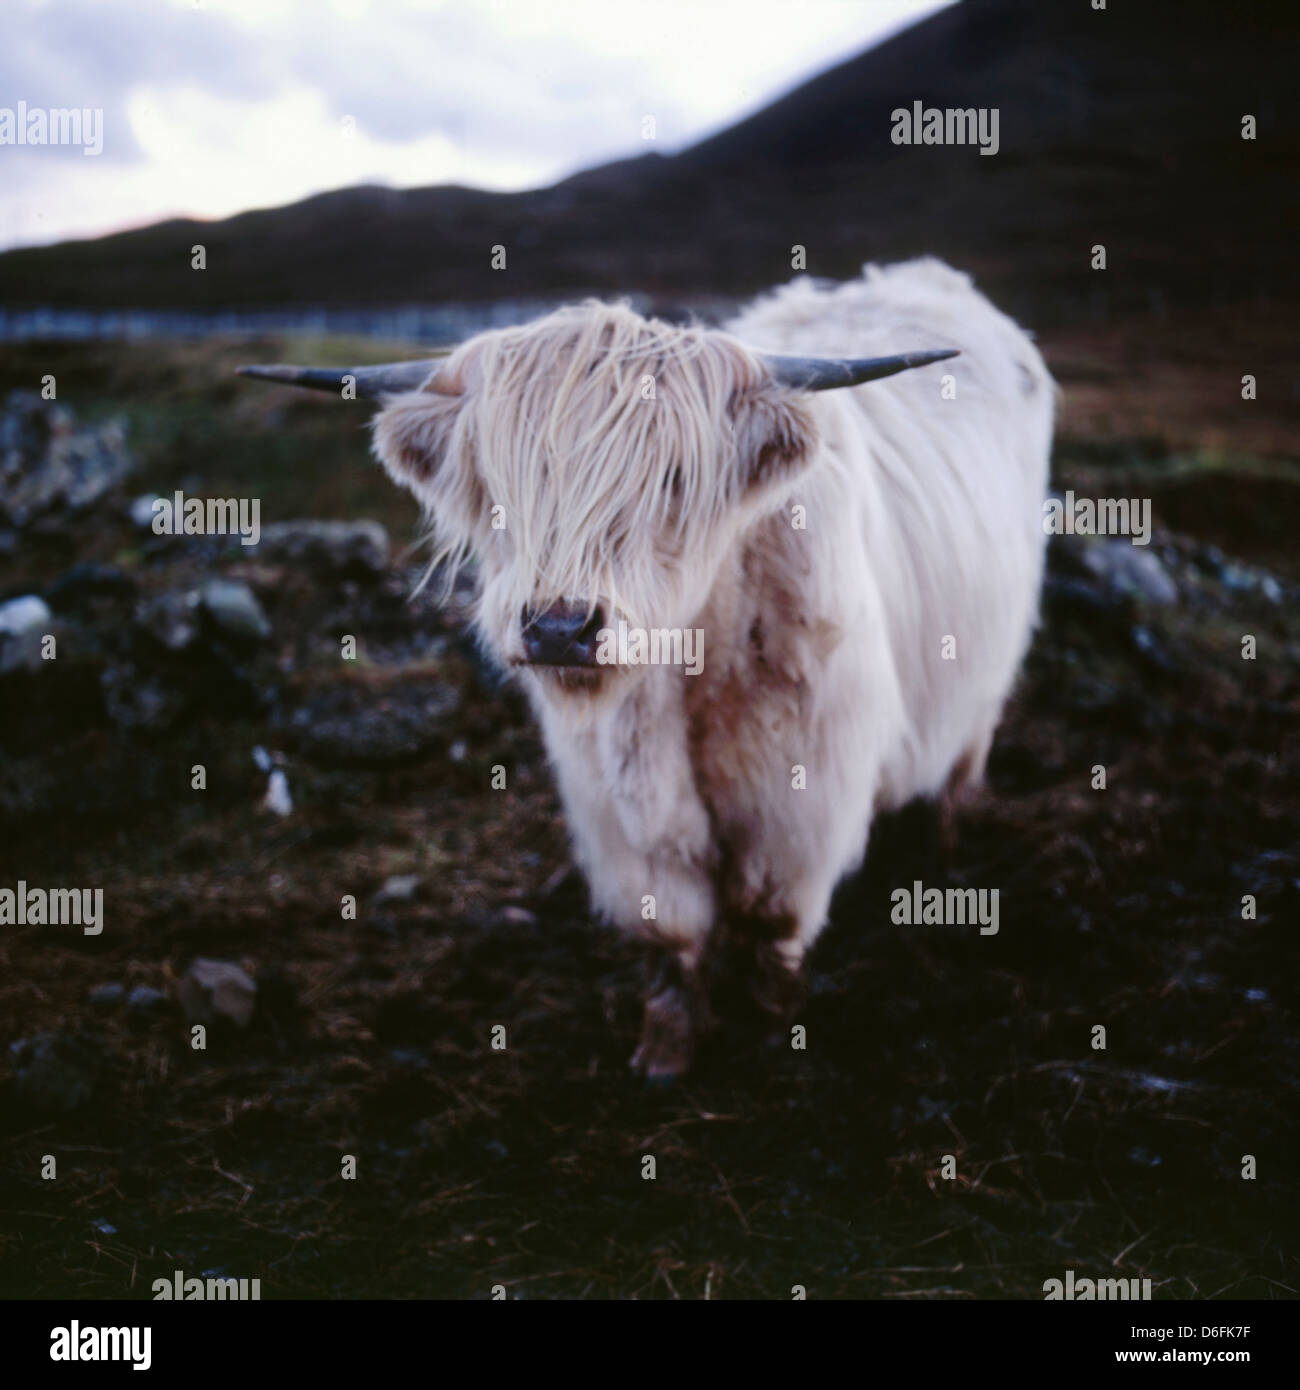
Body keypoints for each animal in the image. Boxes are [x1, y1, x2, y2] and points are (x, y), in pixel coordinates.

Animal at [240, 257, 1054, 1079]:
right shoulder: (618, 793)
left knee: (960, 767)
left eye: (671, 478)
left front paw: (771, 1034)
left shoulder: (802, 789)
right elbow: (670, 925)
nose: (559, 629)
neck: (693, 666)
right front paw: (664, 1054)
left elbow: (769, 913)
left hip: (982, 685)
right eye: (501, 490)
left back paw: (942, 859)